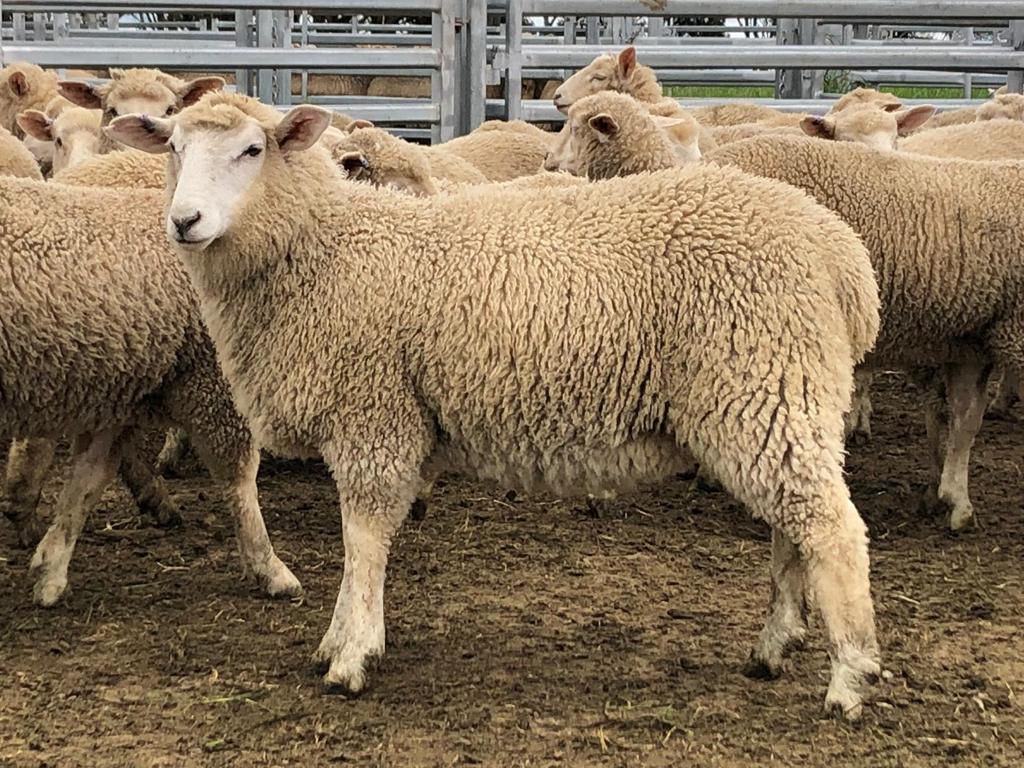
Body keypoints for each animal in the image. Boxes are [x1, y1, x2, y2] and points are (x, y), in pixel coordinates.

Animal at [0, 173, 300, 603]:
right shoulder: (214, 382)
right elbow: (240, 479)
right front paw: (269, 567)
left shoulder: (119, 393)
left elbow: (86, 483)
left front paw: (50, 570)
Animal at [111, 93, 882, 720]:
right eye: (173, 148)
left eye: (253, 149)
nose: (185, 221)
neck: (325, 250)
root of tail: (840, 253)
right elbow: (359, 546)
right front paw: (337, 640)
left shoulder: (373, 415)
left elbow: (362, 541)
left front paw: (352, 655)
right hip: (774, 397)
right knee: (793, 526)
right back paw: (774, 646)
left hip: (759, 383)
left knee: (831, 529)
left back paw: (850, 676)